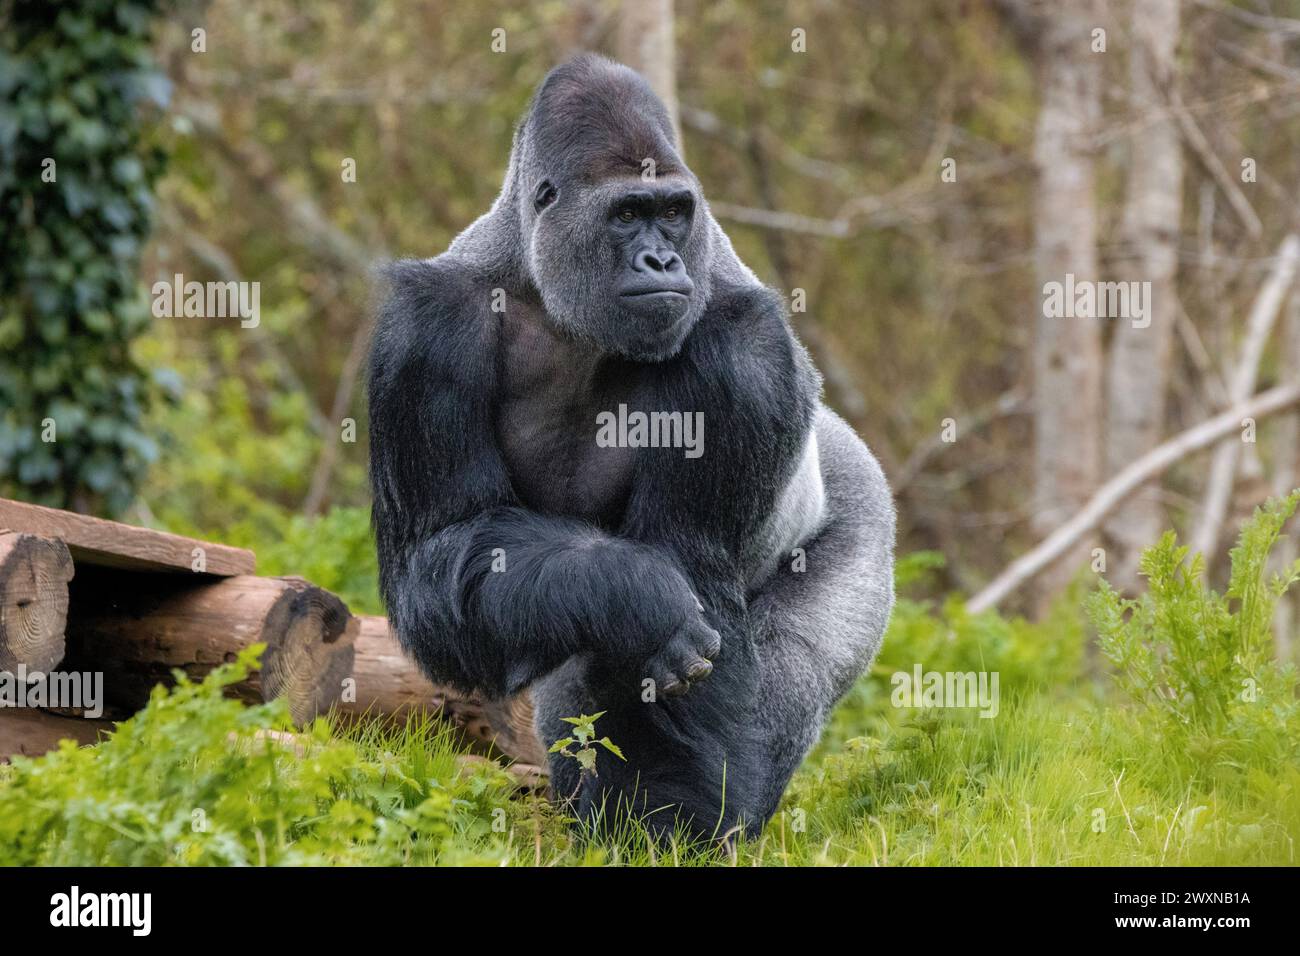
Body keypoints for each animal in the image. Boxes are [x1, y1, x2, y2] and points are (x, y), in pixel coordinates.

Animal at [367, 54, 895, 841]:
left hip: (862, 516)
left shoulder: (746, 354)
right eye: (626, 215)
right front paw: (634, 595)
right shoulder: (423, 330)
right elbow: (446, 546)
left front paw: (673, 826)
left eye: (673, 211)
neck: (550, 296)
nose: (661, 260)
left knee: (799, 657)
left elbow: (691, 559)